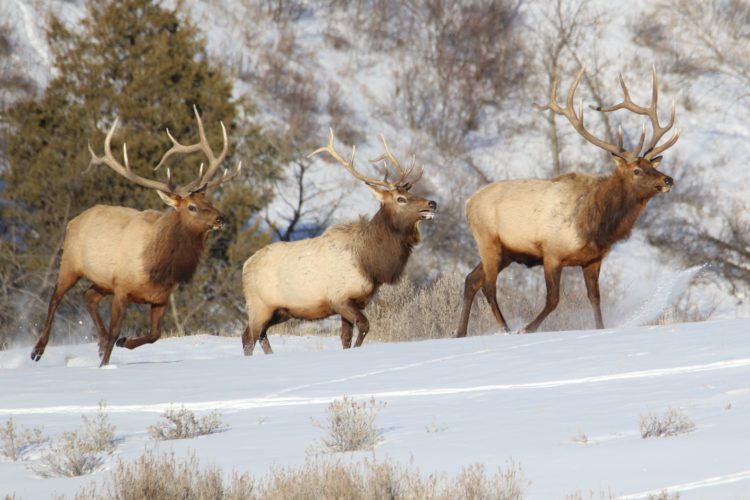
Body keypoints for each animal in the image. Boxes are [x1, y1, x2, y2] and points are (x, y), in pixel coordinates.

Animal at [30, 106, 240, 367]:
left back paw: (98, 344)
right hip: (70, 262)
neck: (159, 267)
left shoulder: (160, 298)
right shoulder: (122, 288)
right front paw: (104, 364)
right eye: (192, 206)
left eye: (208, 200)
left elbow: (154, 334)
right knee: (55, 297)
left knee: (88, 296)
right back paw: (38, 350)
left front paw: (124, 343)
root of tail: (73, 221)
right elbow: (115, 331)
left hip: (102, 280)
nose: (221, 218)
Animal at [240, 129, 436, 355]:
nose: (432, 203)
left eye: (410, 192)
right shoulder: (340, 299)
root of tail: (245, 266)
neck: (370, 264)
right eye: (400, 199)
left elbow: (345, 338)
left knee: (258, 335)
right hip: (259, 305)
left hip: (280, 311)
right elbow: (364, 326)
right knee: (249, 337)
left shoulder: (356, 302)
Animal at [455, 66, 680, 337]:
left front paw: (600, 328)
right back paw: (507, 328)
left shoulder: (593, 259)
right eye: (637, 170)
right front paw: (527, 329)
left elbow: (594, 298)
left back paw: (459, 332)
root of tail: (468, 203)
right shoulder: (552, 253)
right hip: (488, 241)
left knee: (471, 279)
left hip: (507, 251)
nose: (668, 180)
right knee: (489, 286)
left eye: (652, 166)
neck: (596, 225)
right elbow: (553, 299)